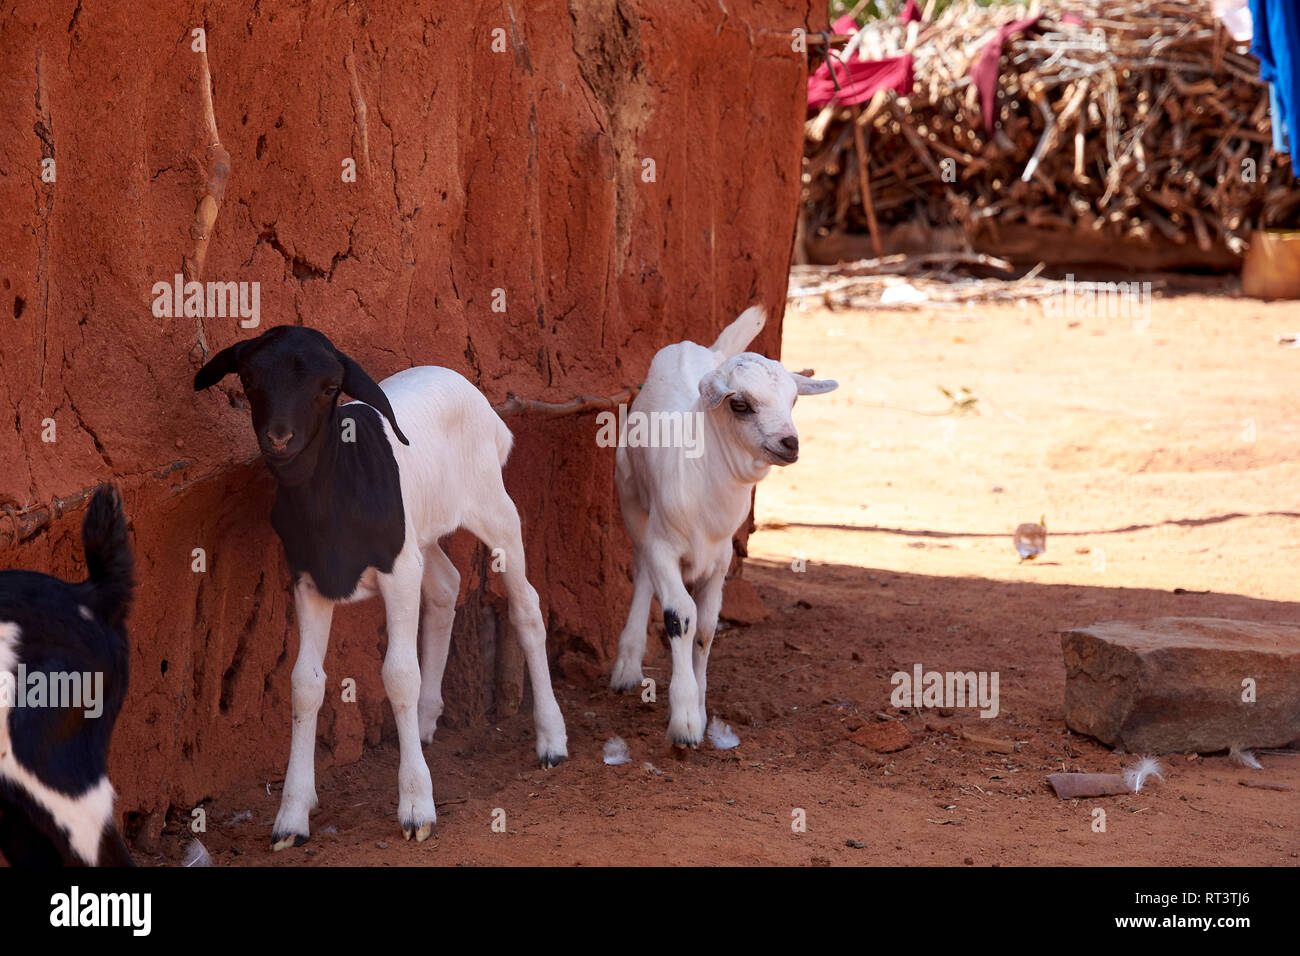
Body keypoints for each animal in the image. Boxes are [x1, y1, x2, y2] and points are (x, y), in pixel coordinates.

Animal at [193, 326, 568, 850]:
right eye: (248, 380)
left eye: (330, 388)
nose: (280, 439)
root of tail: (480, 400)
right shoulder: (309, 579)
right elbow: (304, 684)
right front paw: (291, 817)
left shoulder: (397, 572)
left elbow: (398, 674)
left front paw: (416, 808)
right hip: (419, 534)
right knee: (447, 586)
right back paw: (428, 720)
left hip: (492, 506)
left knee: (527, 606)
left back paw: (551, 739)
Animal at [610, 306, 837, 746]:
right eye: (741, 405)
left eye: (794, 400)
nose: (790, 443)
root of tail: (697, 349)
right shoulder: (665, 545)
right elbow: (680, 616)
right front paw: (684, 721)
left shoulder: (720, 559)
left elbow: (707, 628)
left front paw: (699, 709)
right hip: (630, 497)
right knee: (642, 567)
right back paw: (627, 665)